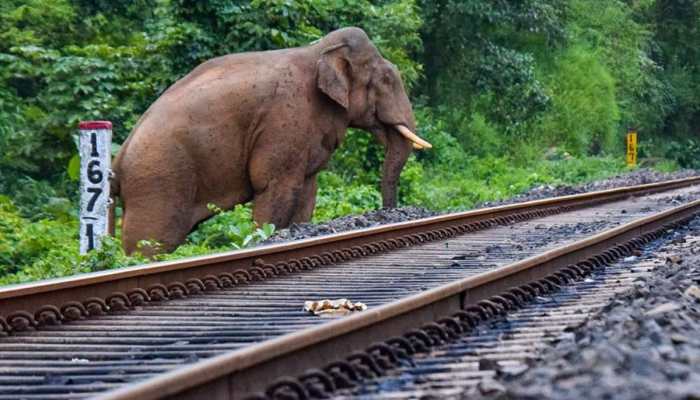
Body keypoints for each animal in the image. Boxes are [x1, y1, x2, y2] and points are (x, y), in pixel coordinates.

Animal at [111, 27, 432, 255]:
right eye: (387, 80)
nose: (391, 213)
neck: (317, 51)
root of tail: (119, 158)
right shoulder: (283, 121)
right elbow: (276, 186)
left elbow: (307, 189)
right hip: (158, 182)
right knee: (150, 243)